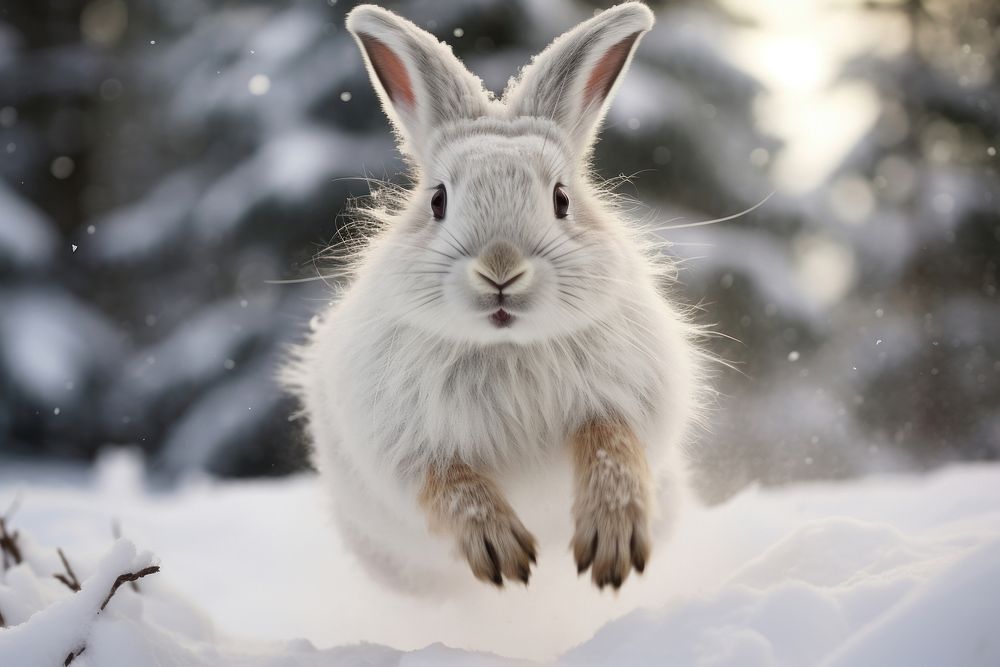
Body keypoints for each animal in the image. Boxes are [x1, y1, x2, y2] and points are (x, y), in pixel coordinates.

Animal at [283, 1, 703, 593]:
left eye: (561, 199)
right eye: (437, 200)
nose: (500, 270)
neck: (509, 346)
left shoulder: (626, 402)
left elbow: (612, 445)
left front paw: (613, 544)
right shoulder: (406, 443)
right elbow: (450, 483)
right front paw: (501, 553)